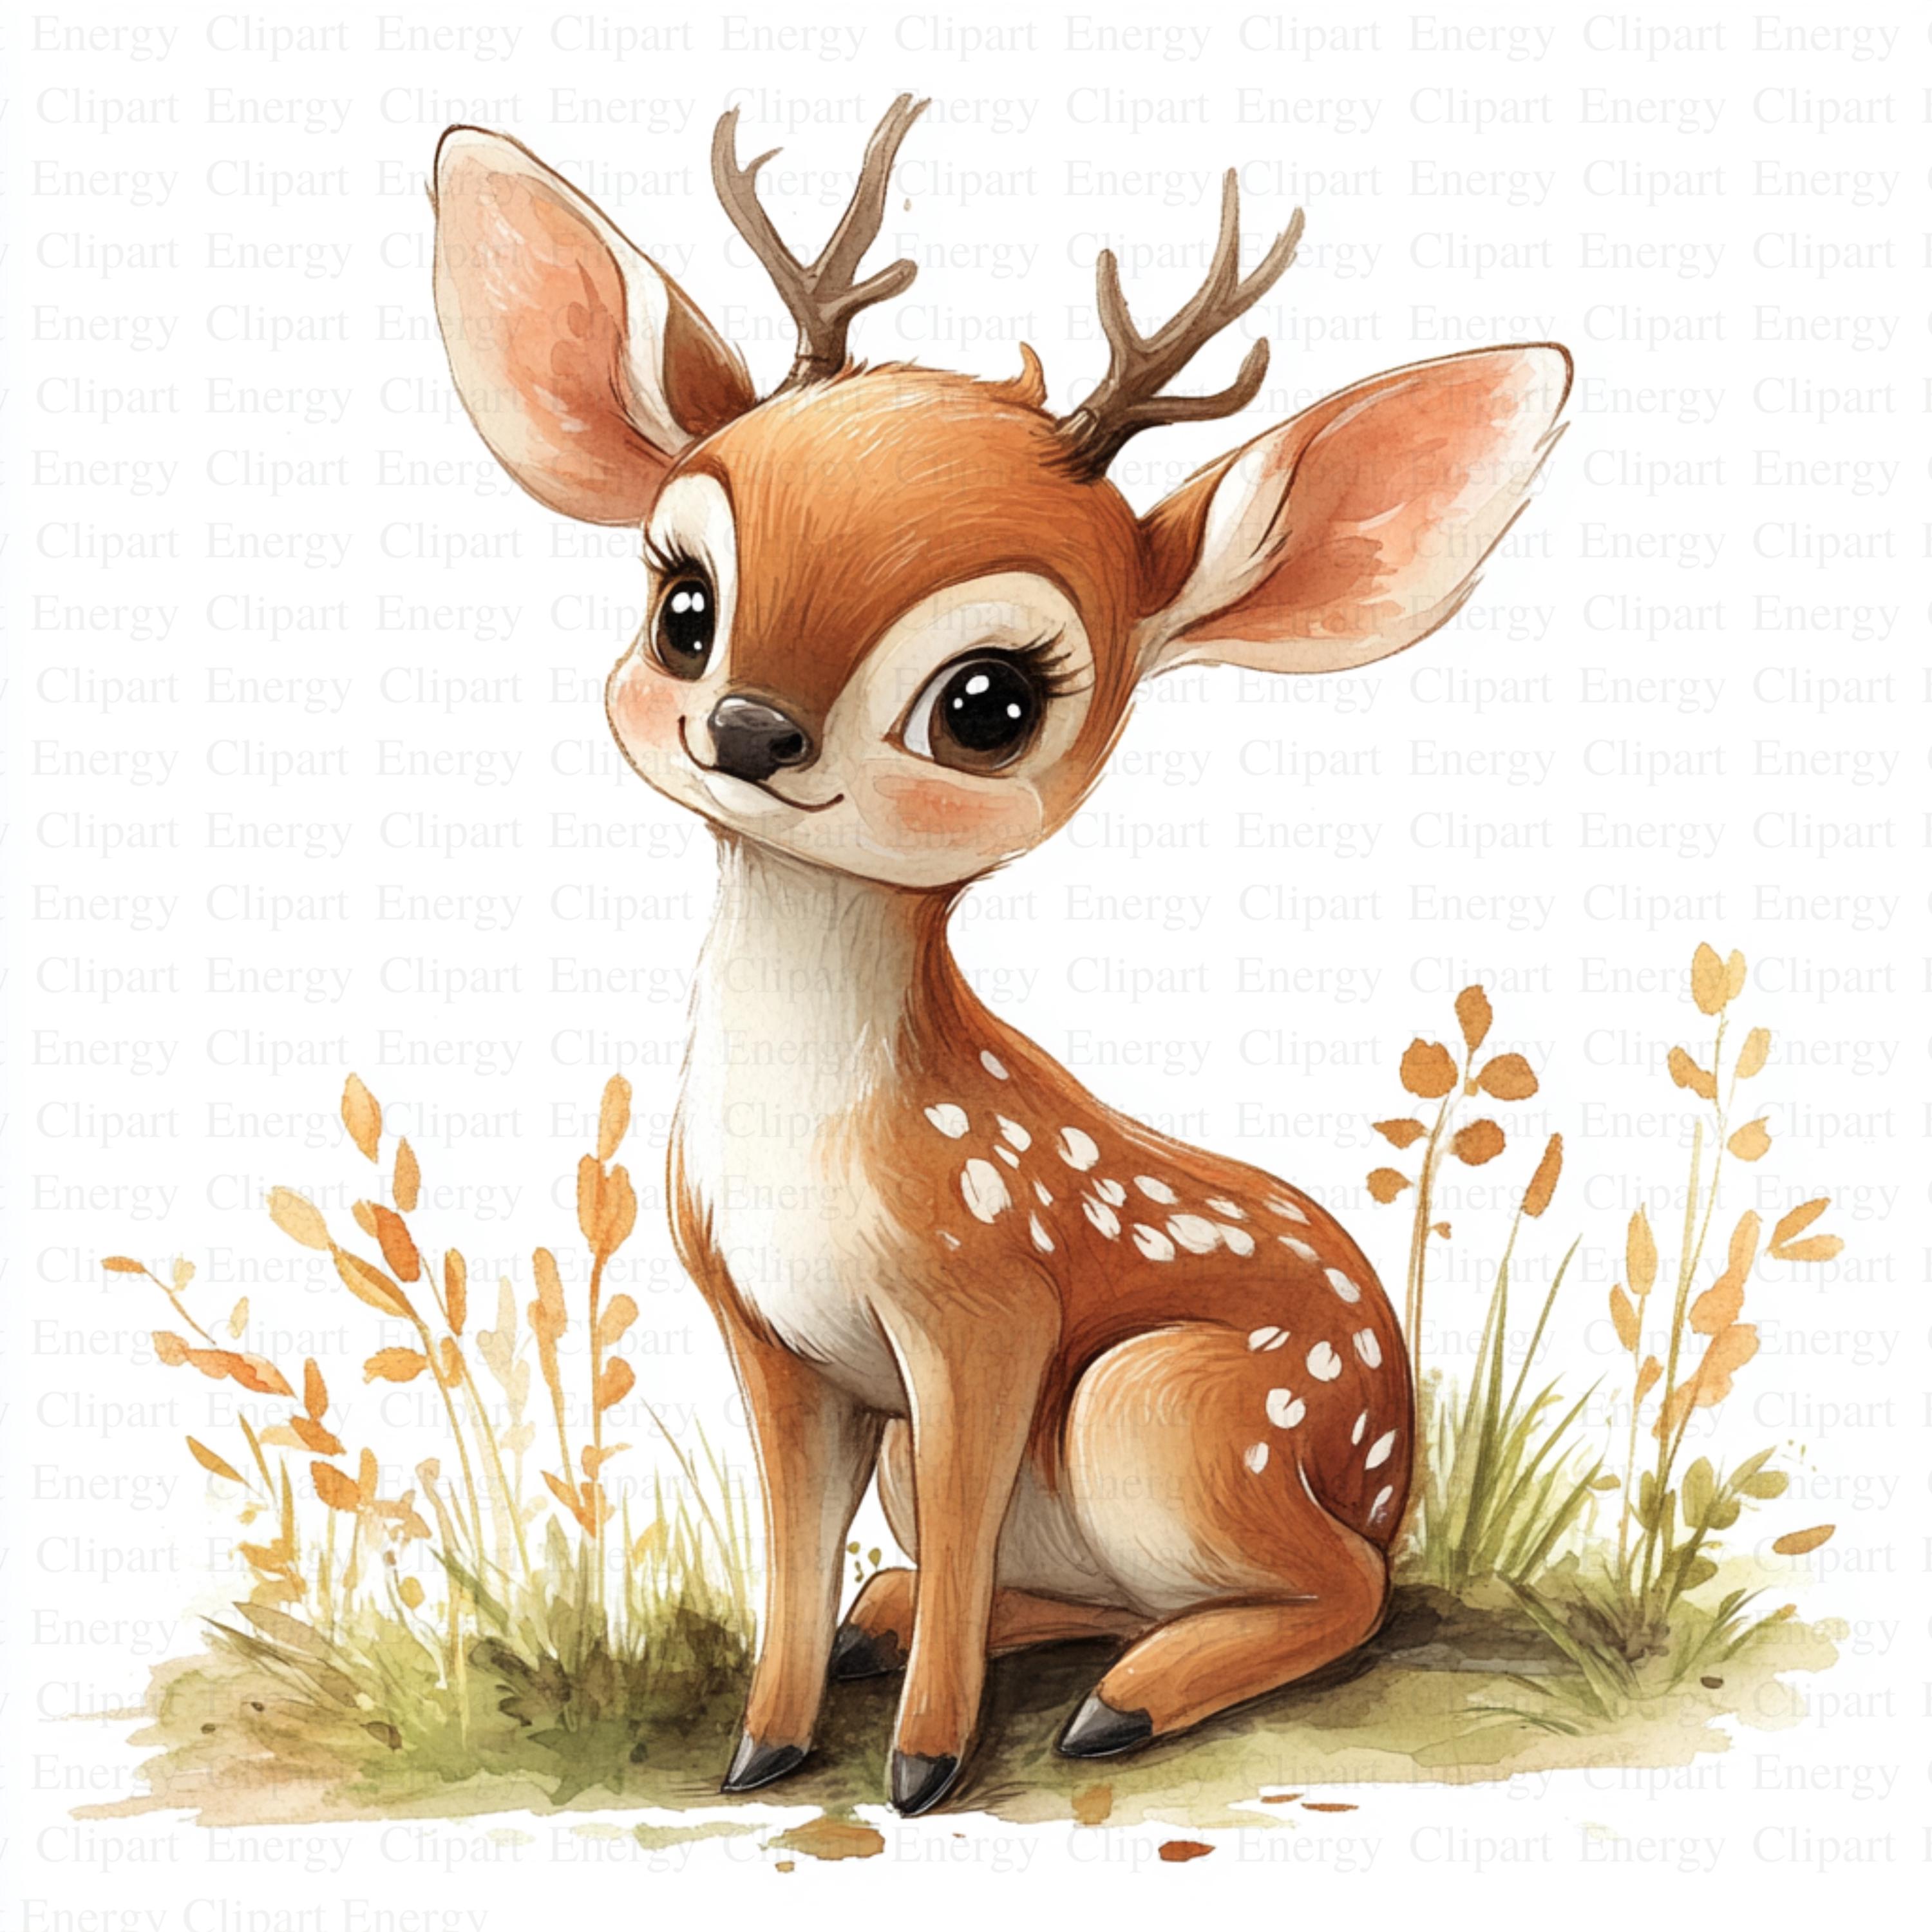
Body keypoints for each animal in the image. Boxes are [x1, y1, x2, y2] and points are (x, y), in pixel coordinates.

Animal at [429, 94, 1569, 1817]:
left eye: (987, 704)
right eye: (685, 603)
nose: (747, 727)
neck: (811, 1137)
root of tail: (1391, 1466)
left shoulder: (989, 1308)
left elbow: (964, 1519)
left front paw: (923, 1767)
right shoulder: (767, 1326)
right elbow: (790, 1544)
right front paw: (767, 1739)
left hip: (1171, 1403)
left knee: (1341, 1592)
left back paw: (1123, 1706)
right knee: (1084, 1584)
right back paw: (890, 1620)